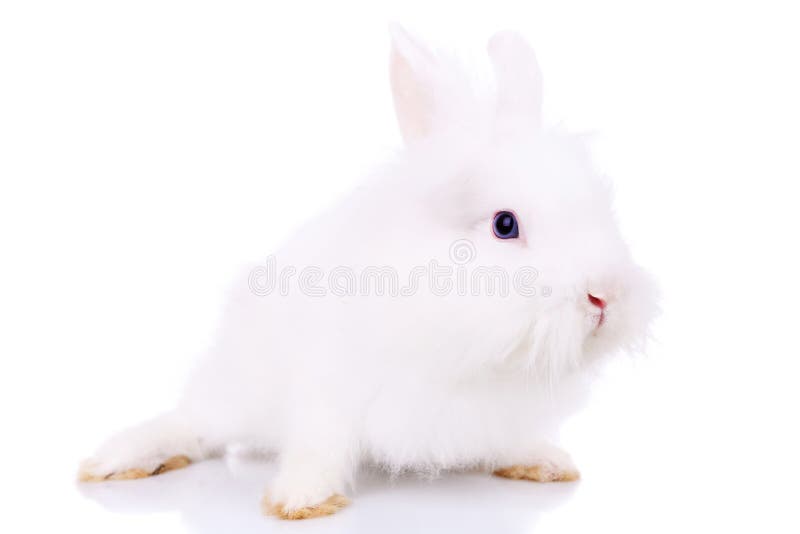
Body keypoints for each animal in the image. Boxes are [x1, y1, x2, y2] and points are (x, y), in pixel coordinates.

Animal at [79, 25, 658, 520]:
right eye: (505, 224)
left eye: (603, 205)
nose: (605, 296)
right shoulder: (330, 386)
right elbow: (319, 447)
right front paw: (302, 501)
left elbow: (506, 439)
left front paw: (545, 462)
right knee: (196, 426)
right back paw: (120, 460)